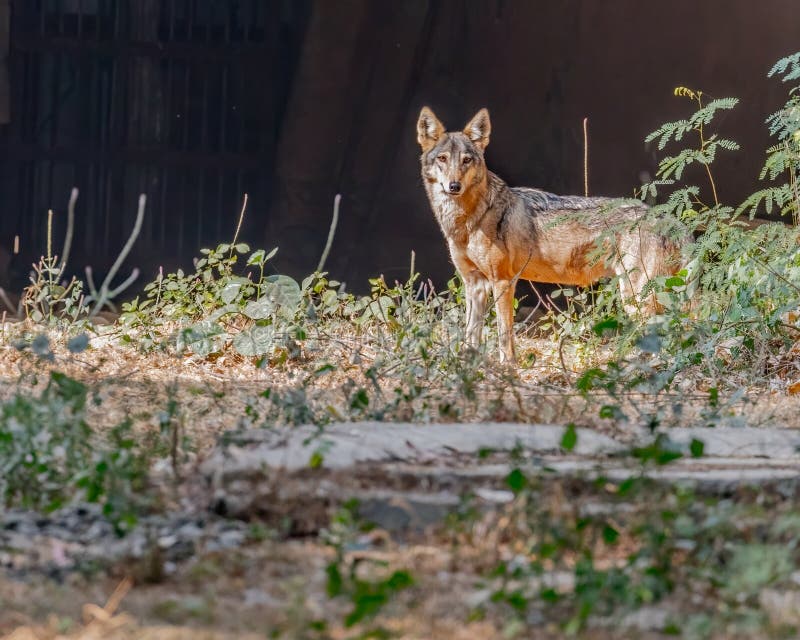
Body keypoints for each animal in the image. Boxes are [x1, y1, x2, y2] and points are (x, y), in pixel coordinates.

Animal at [416, 106, 686, 363]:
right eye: (442, 159)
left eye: (466, 160)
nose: (454, 186)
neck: (469, 221)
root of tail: (667, 217)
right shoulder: (475, 284)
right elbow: (470, 336)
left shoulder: (502, 282)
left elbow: (504, 336)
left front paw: (508, 367)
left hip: (639, 297)